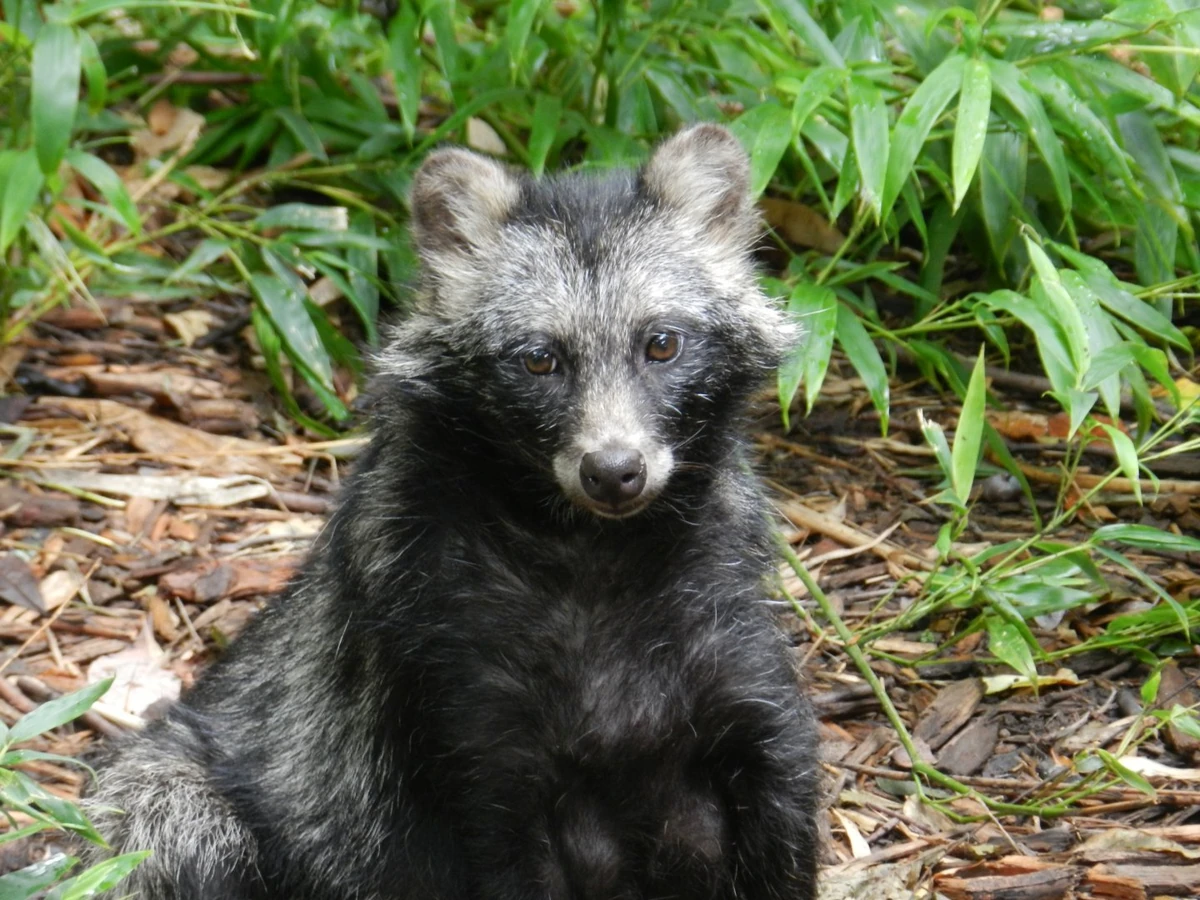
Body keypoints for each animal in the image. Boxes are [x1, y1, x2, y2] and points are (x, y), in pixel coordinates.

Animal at [88, 124, 820, 899]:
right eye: (538, 359)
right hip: (183, 792)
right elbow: (495, 845)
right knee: (163, 826)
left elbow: (781, 811)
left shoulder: (728, 643)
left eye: (663, 343)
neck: (594, 549)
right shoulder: (454, 683)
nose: (615, 471)